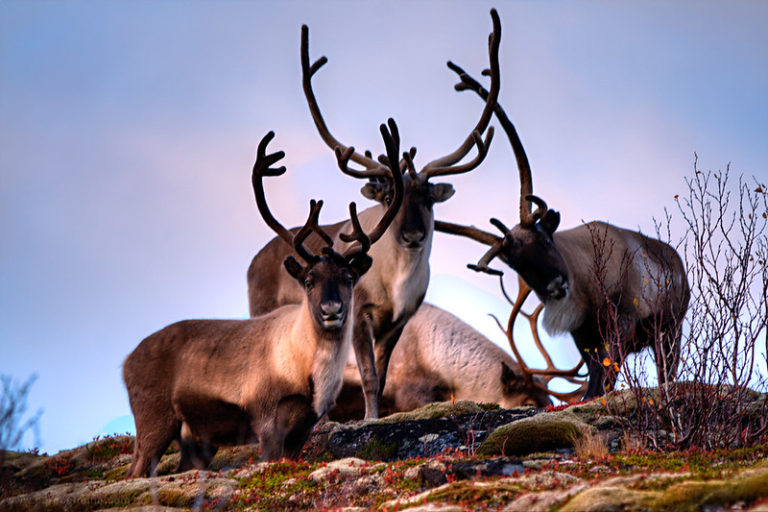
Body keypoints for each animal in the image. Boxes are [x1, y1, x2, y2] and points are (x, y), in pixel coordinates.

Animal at [123, 125, 403, 477]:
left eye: (349, 278)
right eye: (308, 281)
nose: (331, 310)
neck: (307, 371)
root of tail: (125, 363)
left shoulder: (303, 427)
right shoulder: (267, 417)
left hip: (198, 437)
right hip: (154, 418)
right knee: (136, 469)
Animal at [247, 9, 502, 419]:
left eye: (430, 197)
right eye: (387, 196)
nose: (413, 235)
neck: (396, 283)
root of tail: (255, 261)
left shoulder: (399, 322)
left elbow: (381, 378)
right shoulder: (359, 316)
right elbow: (367, 376)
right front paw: (369, 417)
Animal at [435, 63, 690, 400]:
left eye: (545, 239)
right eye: (514, 265)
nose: (555, 285)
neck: (584, 286)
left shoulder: (621, 320)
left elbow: (604, 371)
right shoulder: (582, 335)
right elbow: (597, 374)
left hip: (671, 327)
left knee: (666, 370)